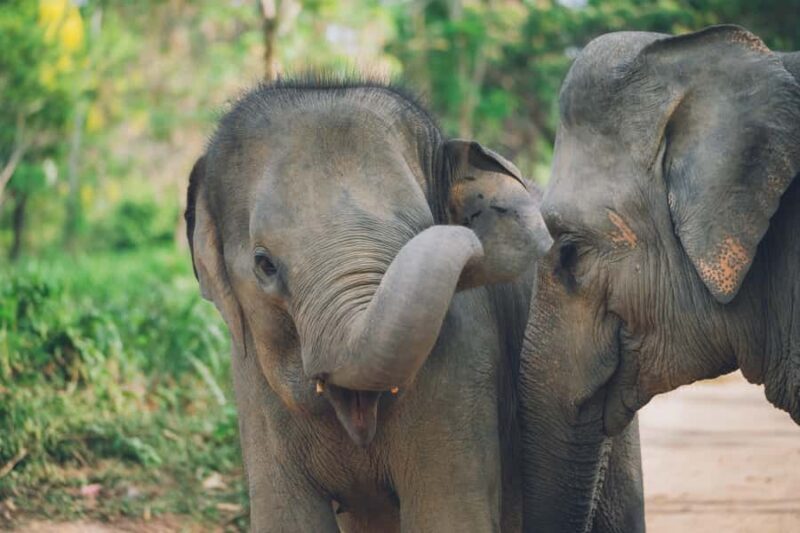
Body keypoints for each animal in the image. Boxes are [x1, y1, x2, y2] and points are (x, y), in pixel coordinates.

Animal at [184, 77, 558, 531]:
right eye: (264, 264)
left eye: (420, 232)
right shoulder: (254, 389)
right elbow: (286, 519)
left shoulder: (463, 370)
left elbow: (447, 515)